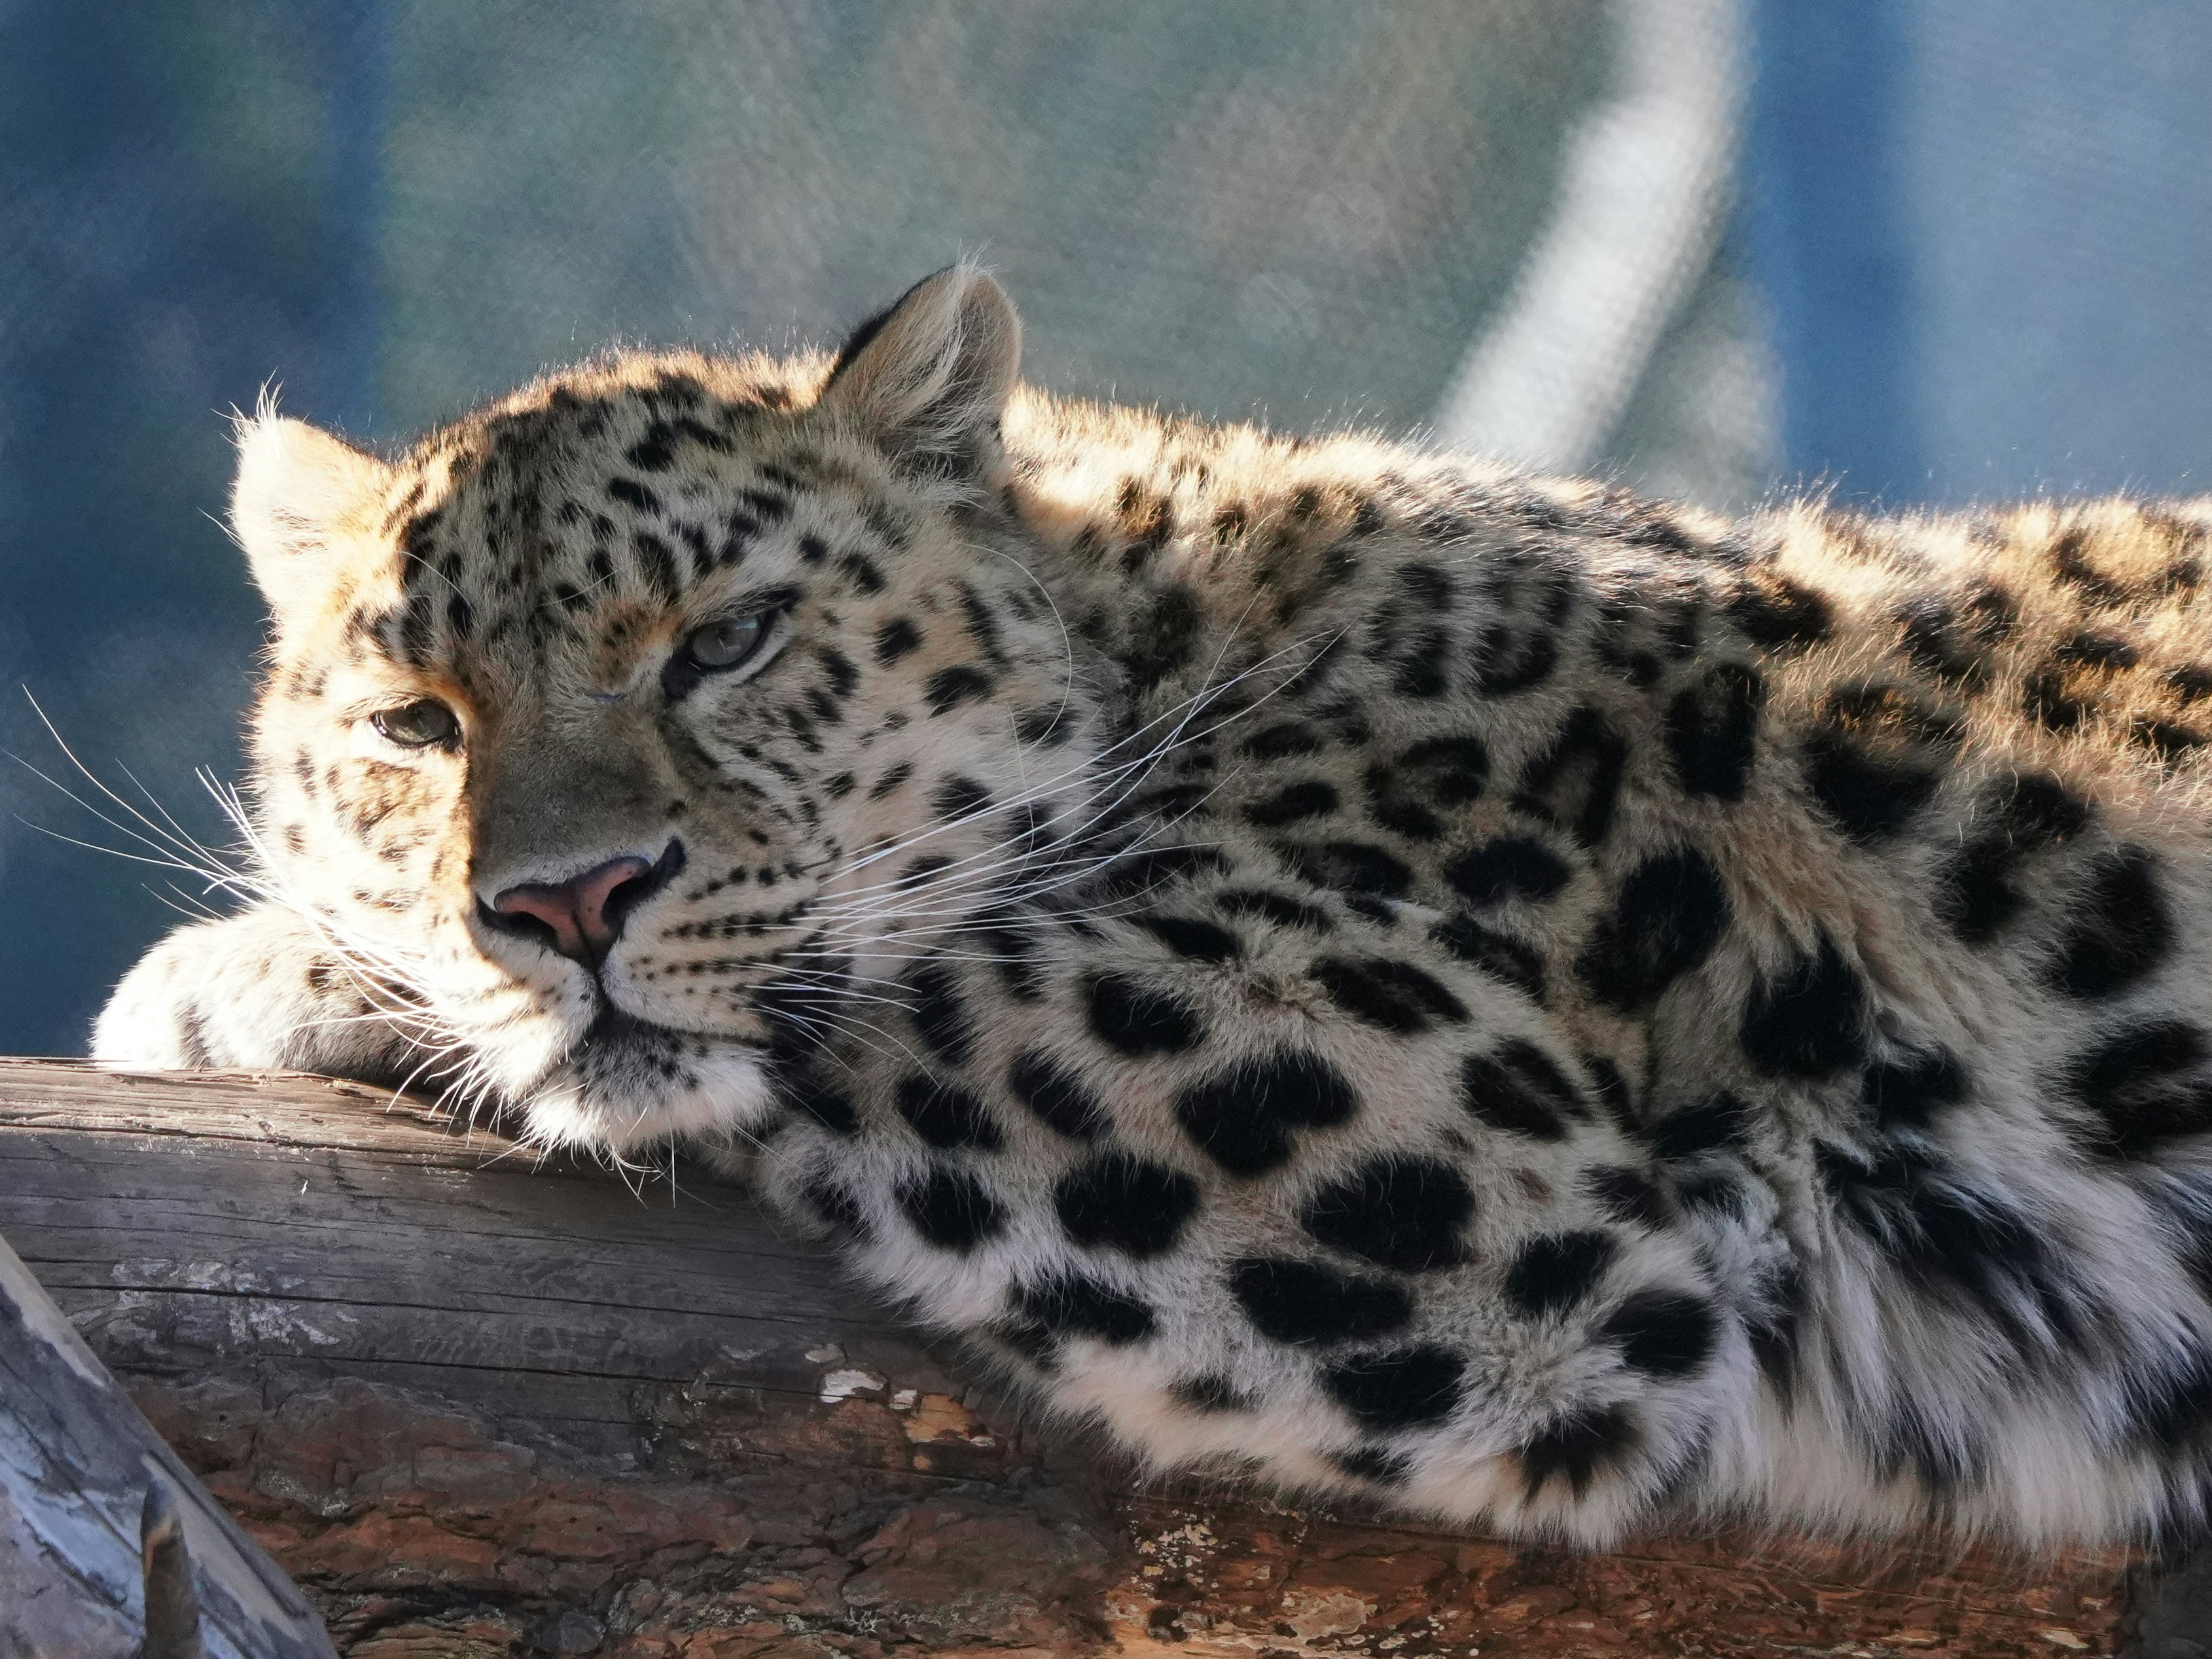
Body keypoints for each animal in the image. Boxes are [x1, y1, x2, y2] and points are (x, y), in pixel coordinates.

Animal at [92, 264, 2212, 1551]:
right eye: (414, 724)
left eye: (728, 641)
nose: (564, 900)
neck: (1167, 615)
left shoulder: (1444, 1144)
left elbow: (901, 967)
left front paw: (234, 975)